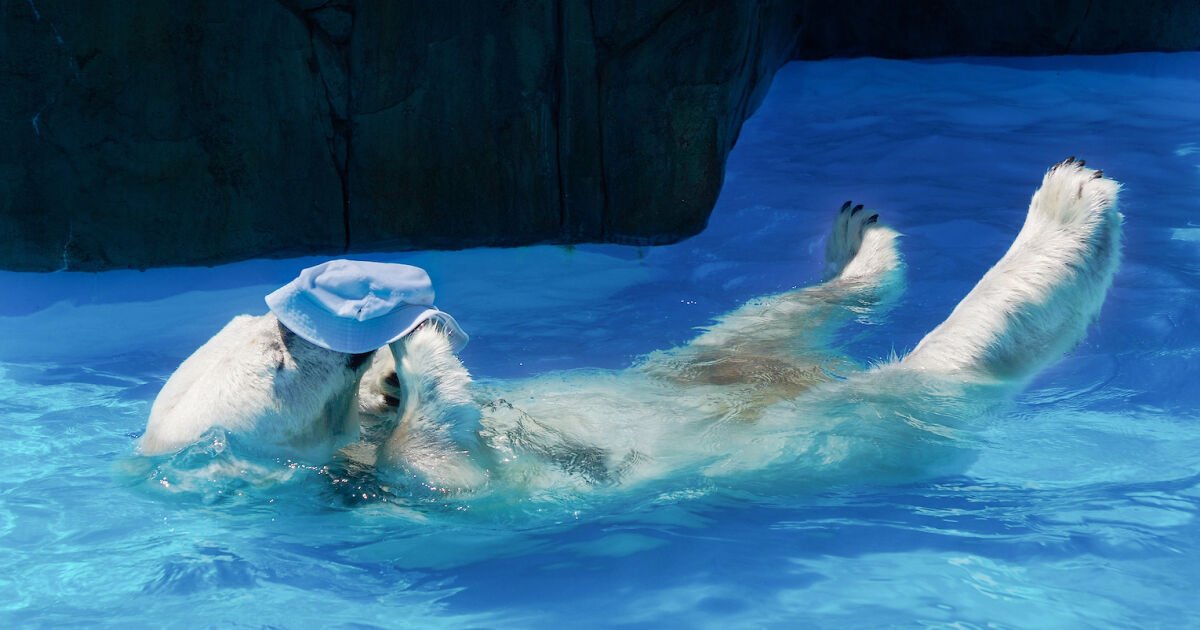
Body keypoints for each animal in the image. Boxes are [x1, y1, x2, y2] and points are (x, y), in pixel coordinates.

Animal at [142, 158, 1122, 496]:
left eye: (266, 330)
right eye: (280, 359)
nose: (313, 321)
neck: (344, 464)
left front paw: (398, 362)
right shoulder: (417, 495)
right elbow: (448, 459)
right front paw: (421, 351)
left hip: (699, 363)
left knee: (758, 326)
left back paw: (858, 249)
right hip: (864, 425)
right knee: (954, 363)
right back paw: (1069, 210)